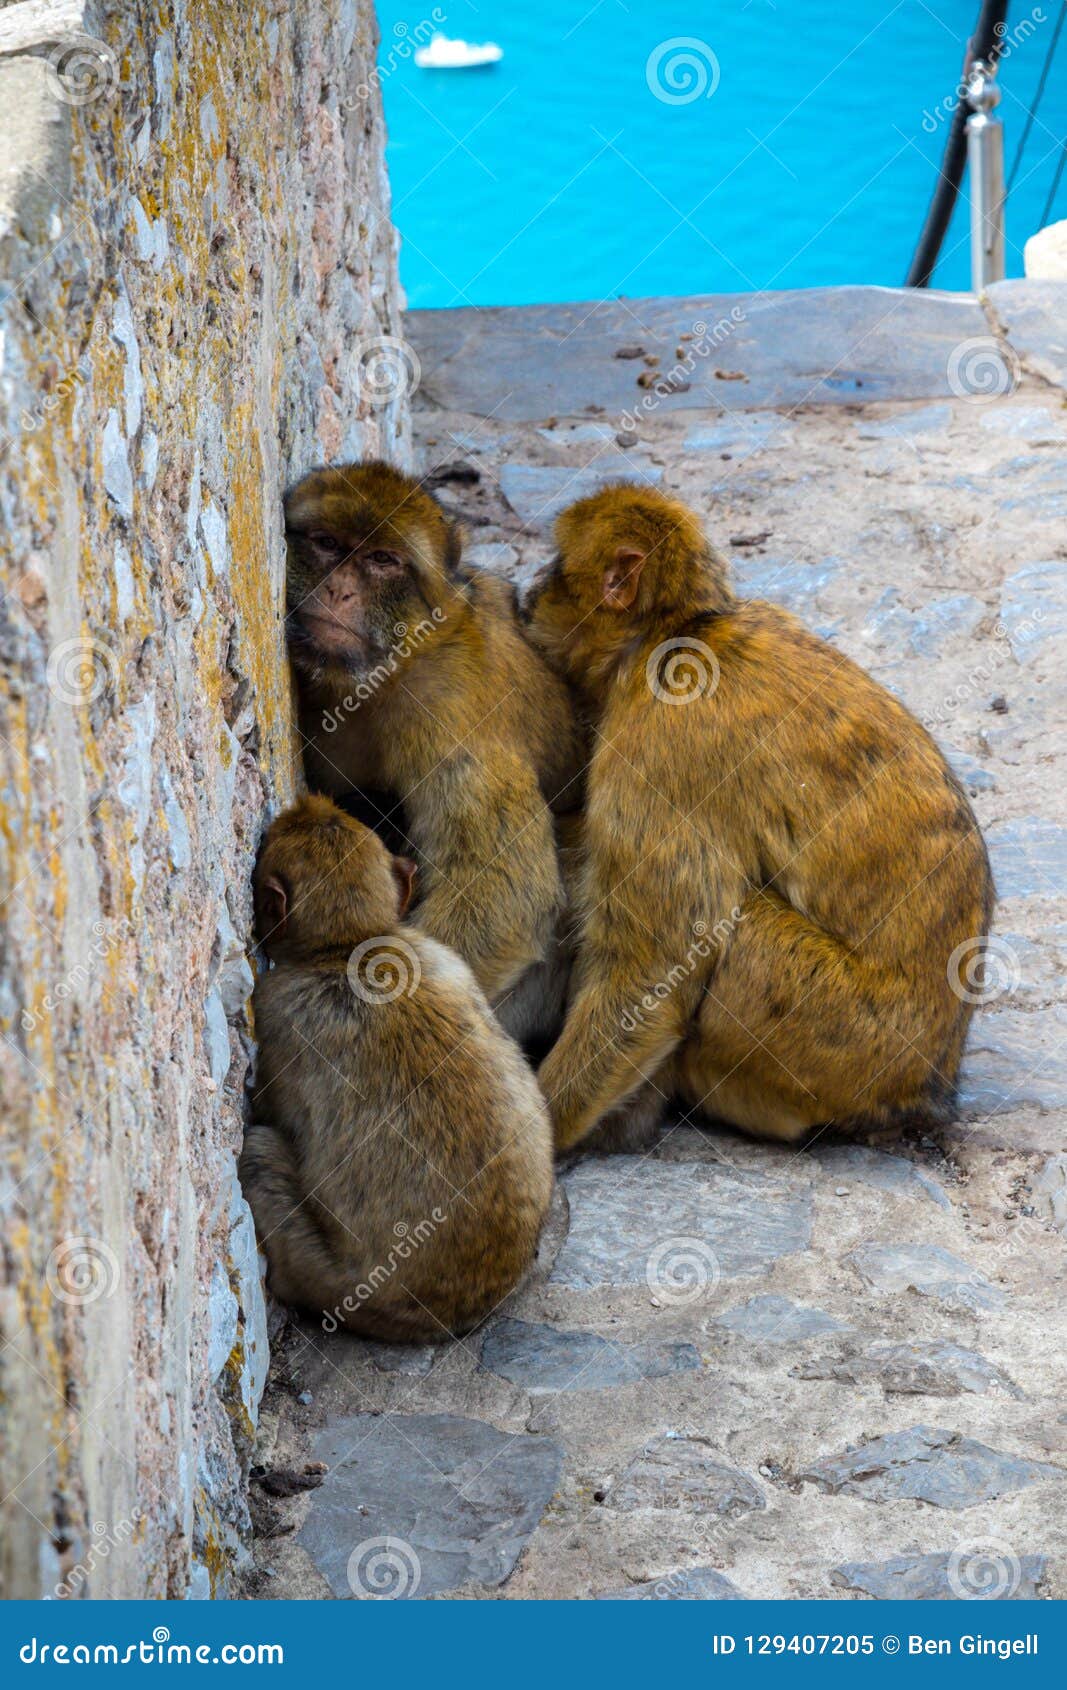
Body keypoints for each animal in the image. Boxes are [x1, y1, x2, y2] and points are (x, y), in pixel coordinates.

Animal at [283, 461, 587, 1045]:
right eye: (327, 544)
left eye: (382, 560)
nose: (339, 591)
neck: (384, 672)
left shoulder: (449, 708)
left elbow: (504, 897)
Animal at [521, 484, 994, 1154]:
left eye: (557, 567)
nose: (530, 590)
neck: (680, 633)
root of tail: (927, 1087)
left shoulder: (664, 737)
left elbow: (657, 963)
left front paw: (539, 1129)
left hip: (837, 1043)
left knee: (739, 929)